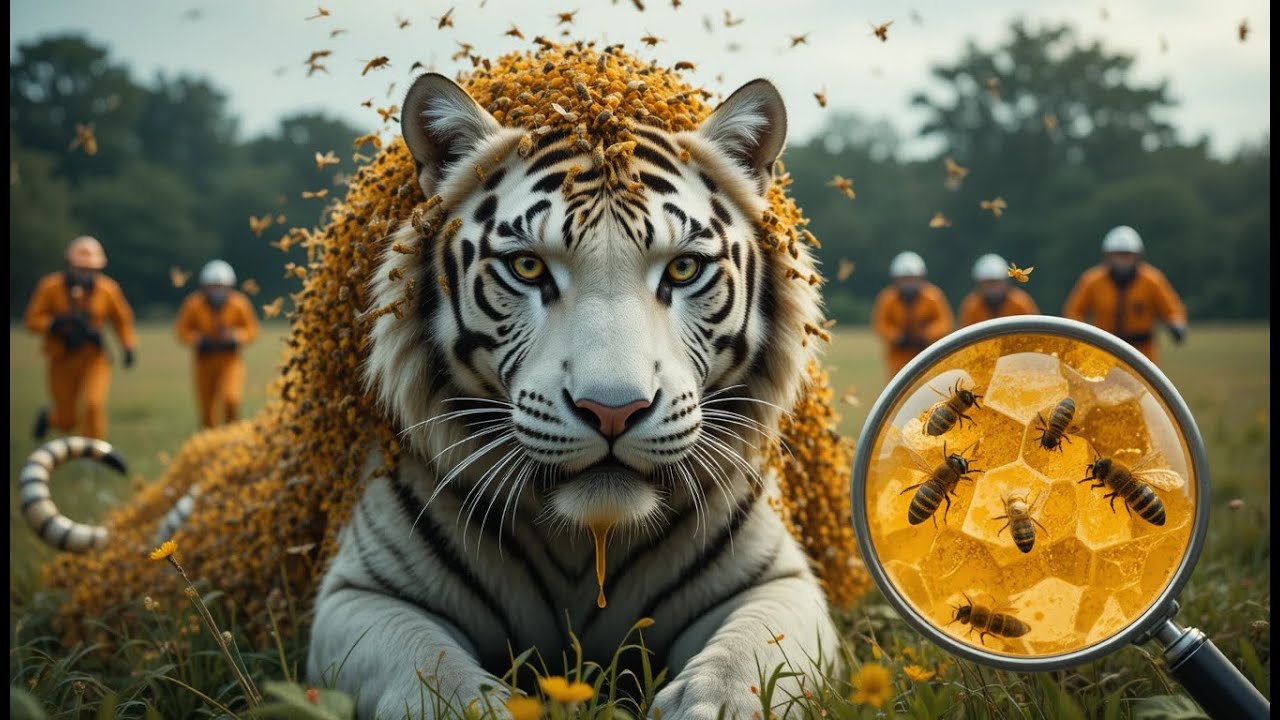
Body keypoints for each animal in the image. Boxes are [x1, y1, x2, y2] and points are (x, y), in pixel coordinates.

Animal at [23, 43, 859, 719]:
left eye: (682, 270)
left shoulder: (780, 582)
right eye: (529, 267)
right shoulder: (361, 596)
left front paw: (716, 705)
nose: (611, 411)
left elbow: (749, 654)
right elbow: (431, 671)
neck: (581, 541)